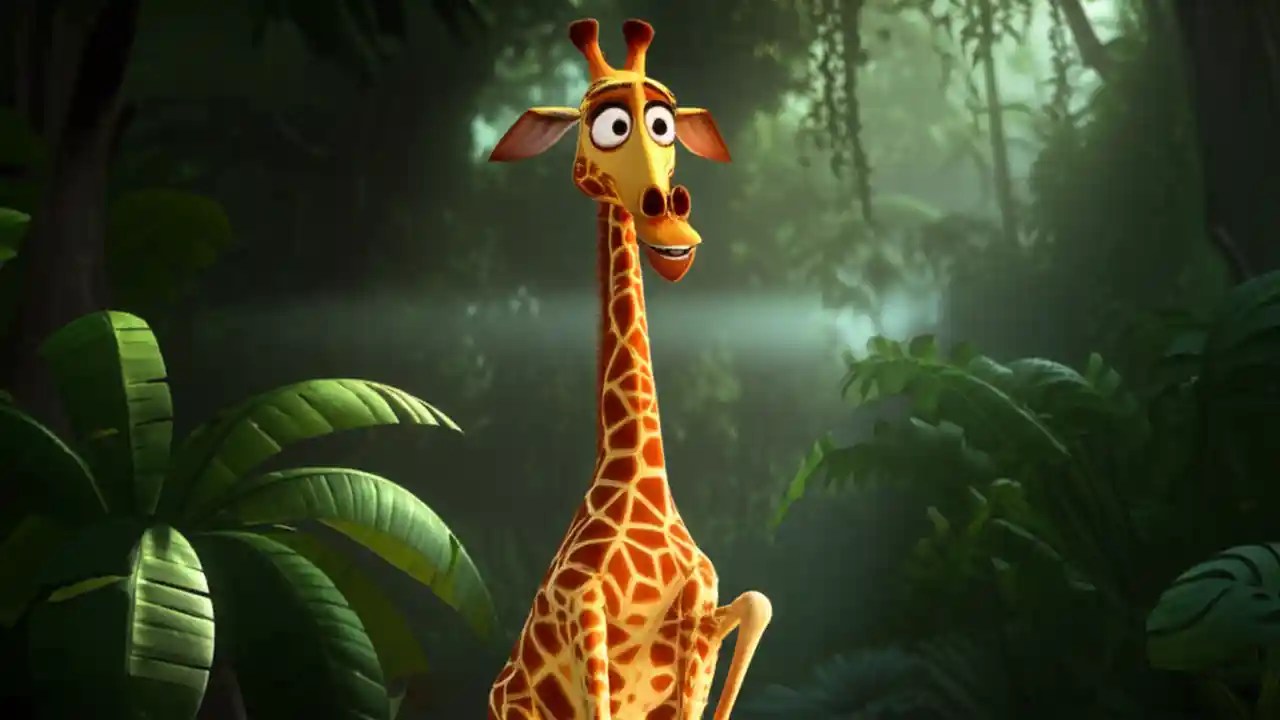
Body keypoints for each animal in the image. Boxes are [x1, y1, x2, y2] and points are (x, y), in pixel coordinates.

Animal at [483, 17, 772, 720]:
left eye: (665, 124)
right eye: (607, 124)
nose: (669, 220)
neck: (637, 482)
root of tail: (497, 688)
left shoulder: (701, 600)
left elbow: (754, 606)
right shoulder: (585, 613)